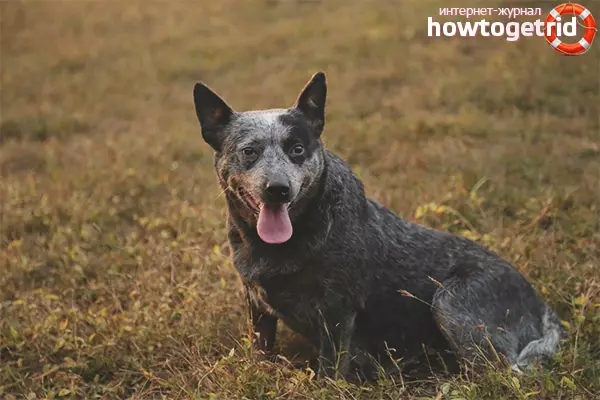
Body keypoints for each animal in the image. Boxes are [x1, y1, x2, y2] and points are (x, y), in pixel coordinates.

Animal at [192, 72, 564, 382]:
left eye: (297, 149)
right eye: (249, 151)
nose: (278, 189)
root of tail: (541, 306)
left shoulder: (337, 311)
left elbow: (330, 369)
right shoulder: (256, 303)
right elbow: (262, 350)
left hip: (450, 301)